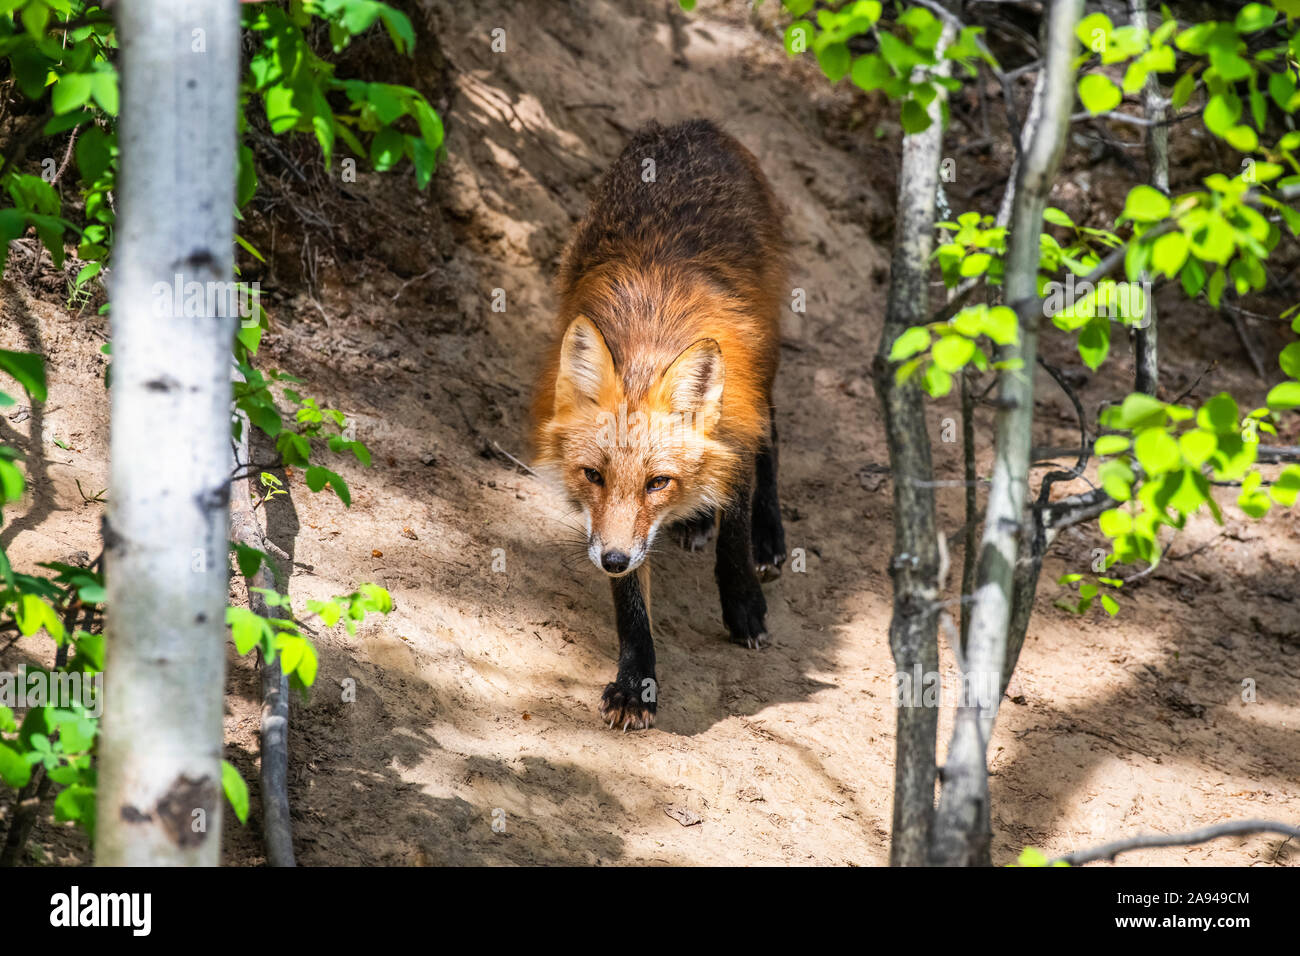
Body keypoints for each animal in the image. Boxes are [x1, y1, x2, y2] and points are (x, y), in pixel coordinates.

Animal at [531, 119, 788, 731]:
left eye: (658, 482)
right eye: (592, 476)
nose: (613, 559)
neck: (651, 345)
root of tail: (696, 126)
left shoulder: (733, 428)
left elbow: (734, 531)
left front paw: (744, 606)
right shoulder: (611, 529)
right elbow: (630, 604)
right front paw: (635, 684)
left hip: (765, 366)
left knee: (772, 437)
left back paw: (769, 535)